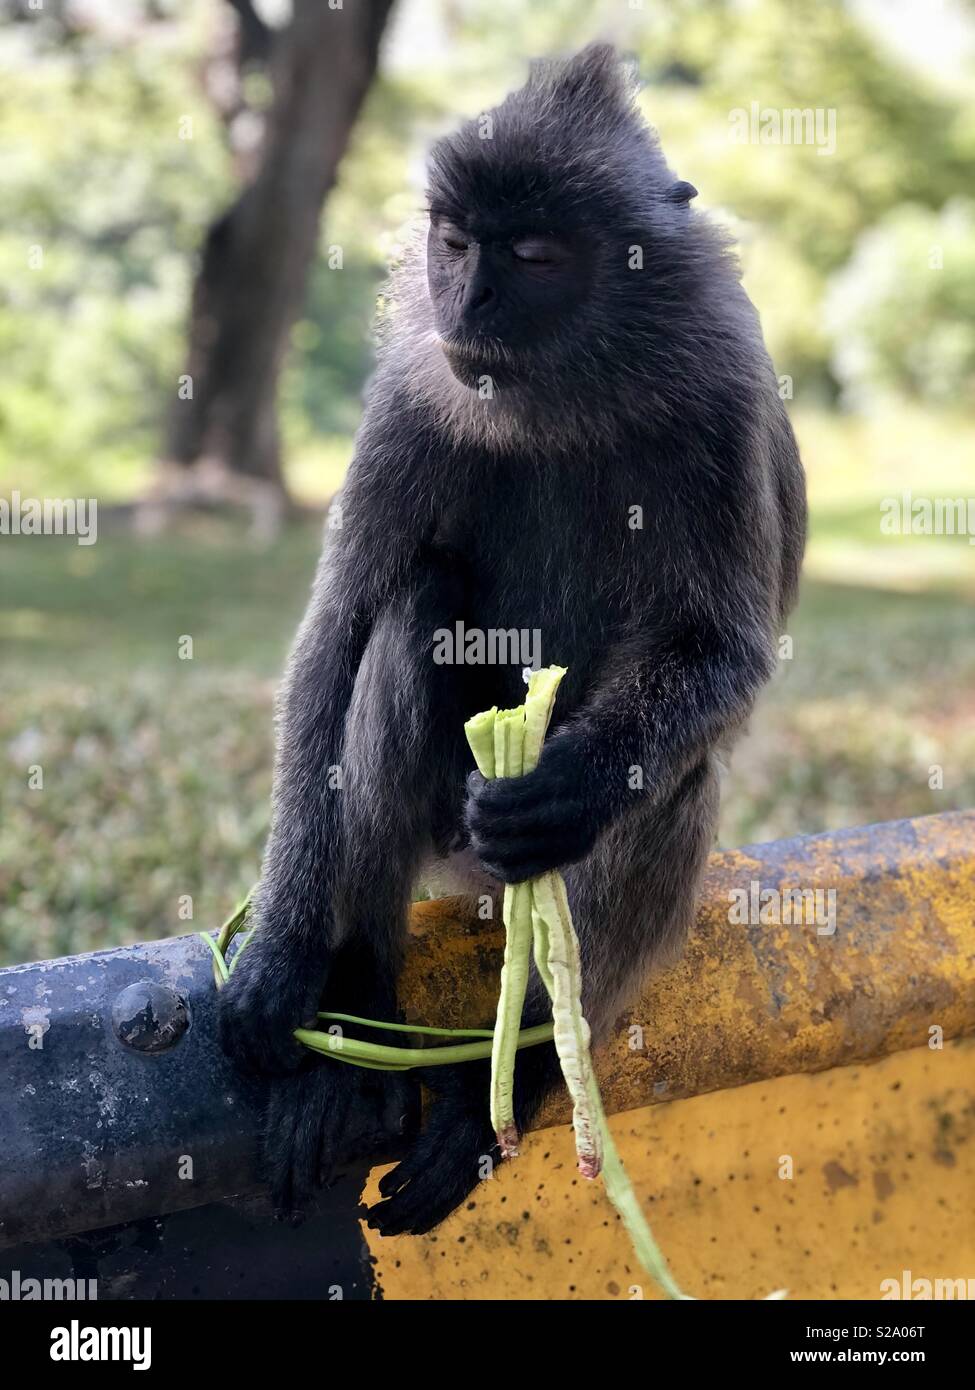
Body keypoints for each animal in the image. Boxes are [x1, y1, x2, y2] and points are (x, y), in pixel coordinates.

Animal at [218, 43, 807, 1236]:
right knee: (407, 617)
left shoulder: (721, 398)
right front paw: (285, 956)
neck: (564, 399)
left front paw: (565, 785)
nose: (468, 299)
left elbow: (722, 651)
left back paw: (530, 1066)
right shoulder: (412, 391)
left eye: (532, 255)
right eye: (453, 243)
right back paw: (354, 1018)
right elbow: (336, 636)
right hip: (451, 833)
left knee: (672, 779)